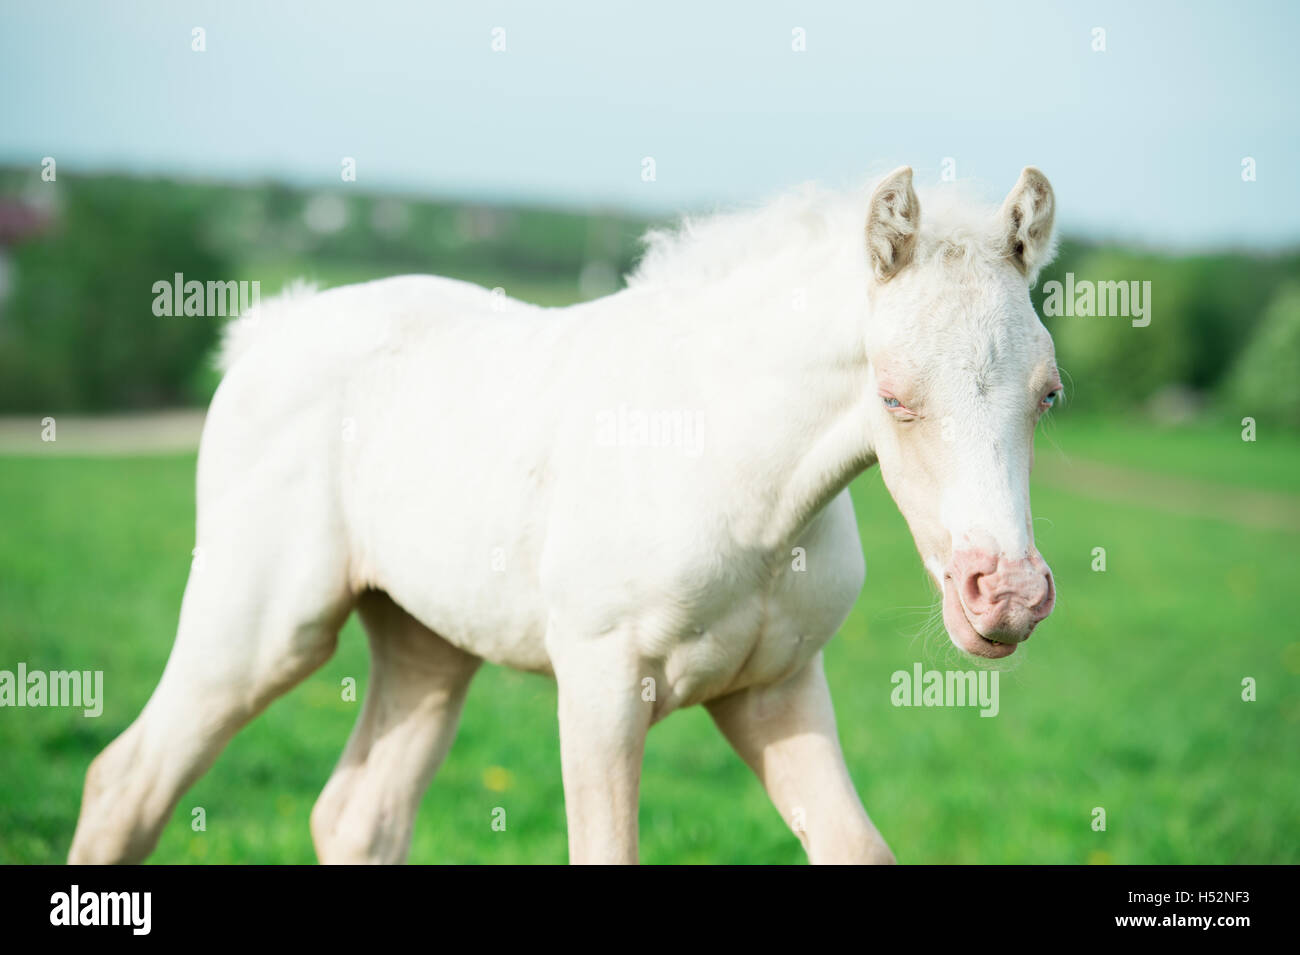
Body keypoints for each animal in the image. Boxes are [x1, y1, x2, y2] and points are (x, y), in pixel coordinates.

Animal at [69, 165, 1060, 865]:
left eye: (1048, 393)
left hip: (426, 644)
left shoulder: (773, 687)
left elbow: (858, 847)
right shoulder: (601, 684)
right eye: (893, 397)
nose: (1006, 595)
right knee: (125, 783)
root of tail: (269, 334)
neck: (735, 475)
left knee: (357, 816)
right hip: (261, 629)